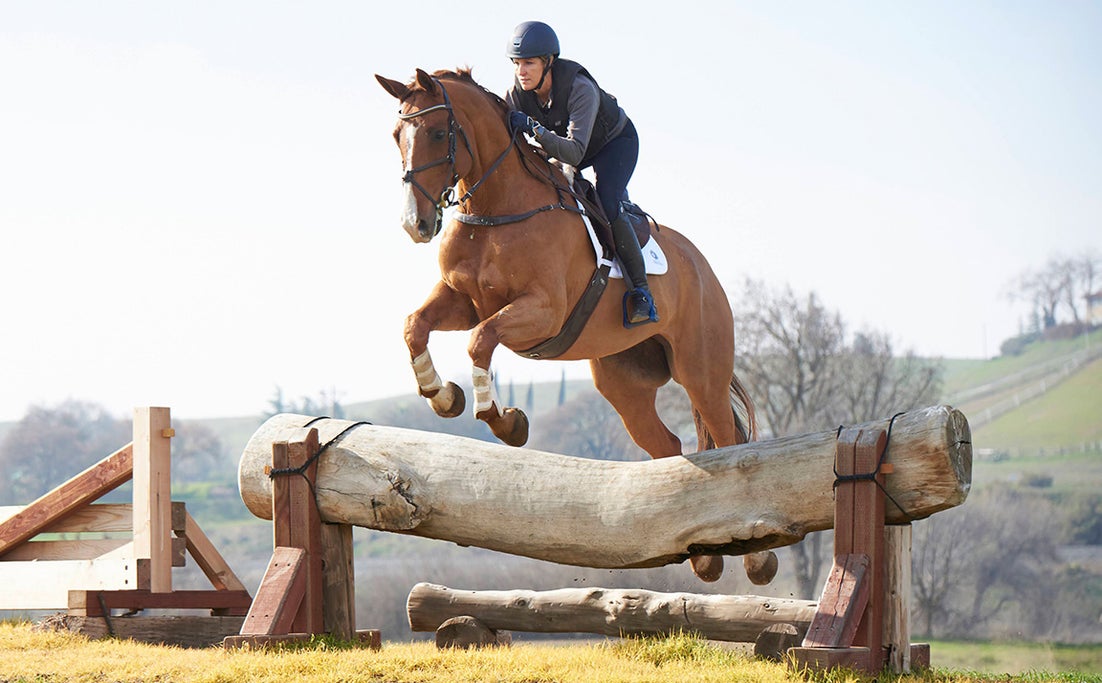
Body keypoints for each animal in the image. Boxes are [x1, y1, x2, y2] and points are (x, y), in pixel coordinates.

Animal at [376, 68, 774, 584]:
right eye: (396, 135)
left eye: (440, 134)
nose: (416, 224)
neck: (497, 208)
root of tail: (704, 268)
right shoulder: (463, 301)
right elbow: (415, 326)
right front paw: (443, 396)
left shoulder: (541, 312)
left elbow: (480, 341)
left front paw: (504, 421)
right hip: (623, 382)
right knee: (668, 446)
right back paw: (704, 556)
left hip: (701, 370)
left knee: (727, 440)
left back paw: (758, 560)